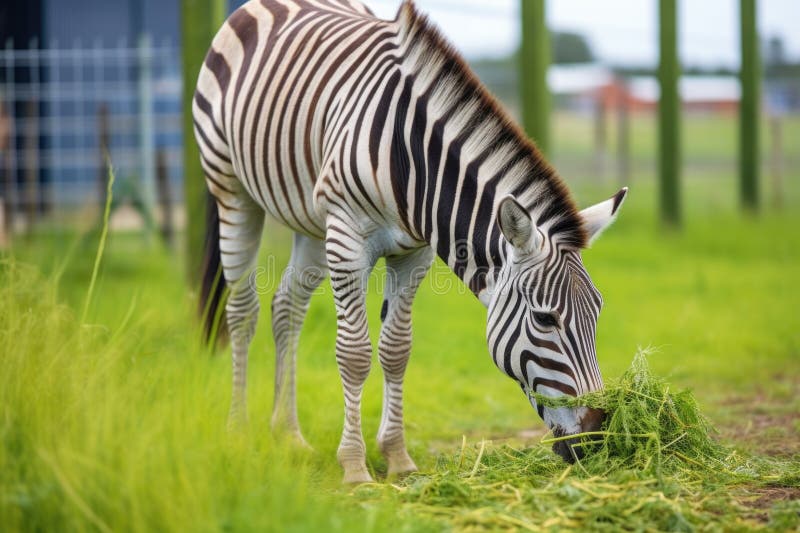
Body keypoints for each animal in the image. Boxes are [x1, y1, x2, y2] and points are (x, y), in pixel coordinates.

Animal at [193, 0, 627, 483]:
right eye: (545, 319)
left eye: (598, 312)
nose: (598, 437)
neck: (412, 161)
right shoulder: (348, 238)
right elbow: (355, 353)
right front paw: (354, 467)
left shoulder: (415, 253)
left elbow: (396, 350)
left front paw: (397, 458)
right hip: (233, 191)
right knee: (242, 310)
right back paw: (238, 430)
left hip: (311, 220)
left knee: (286, 305)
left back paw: (288, 435)